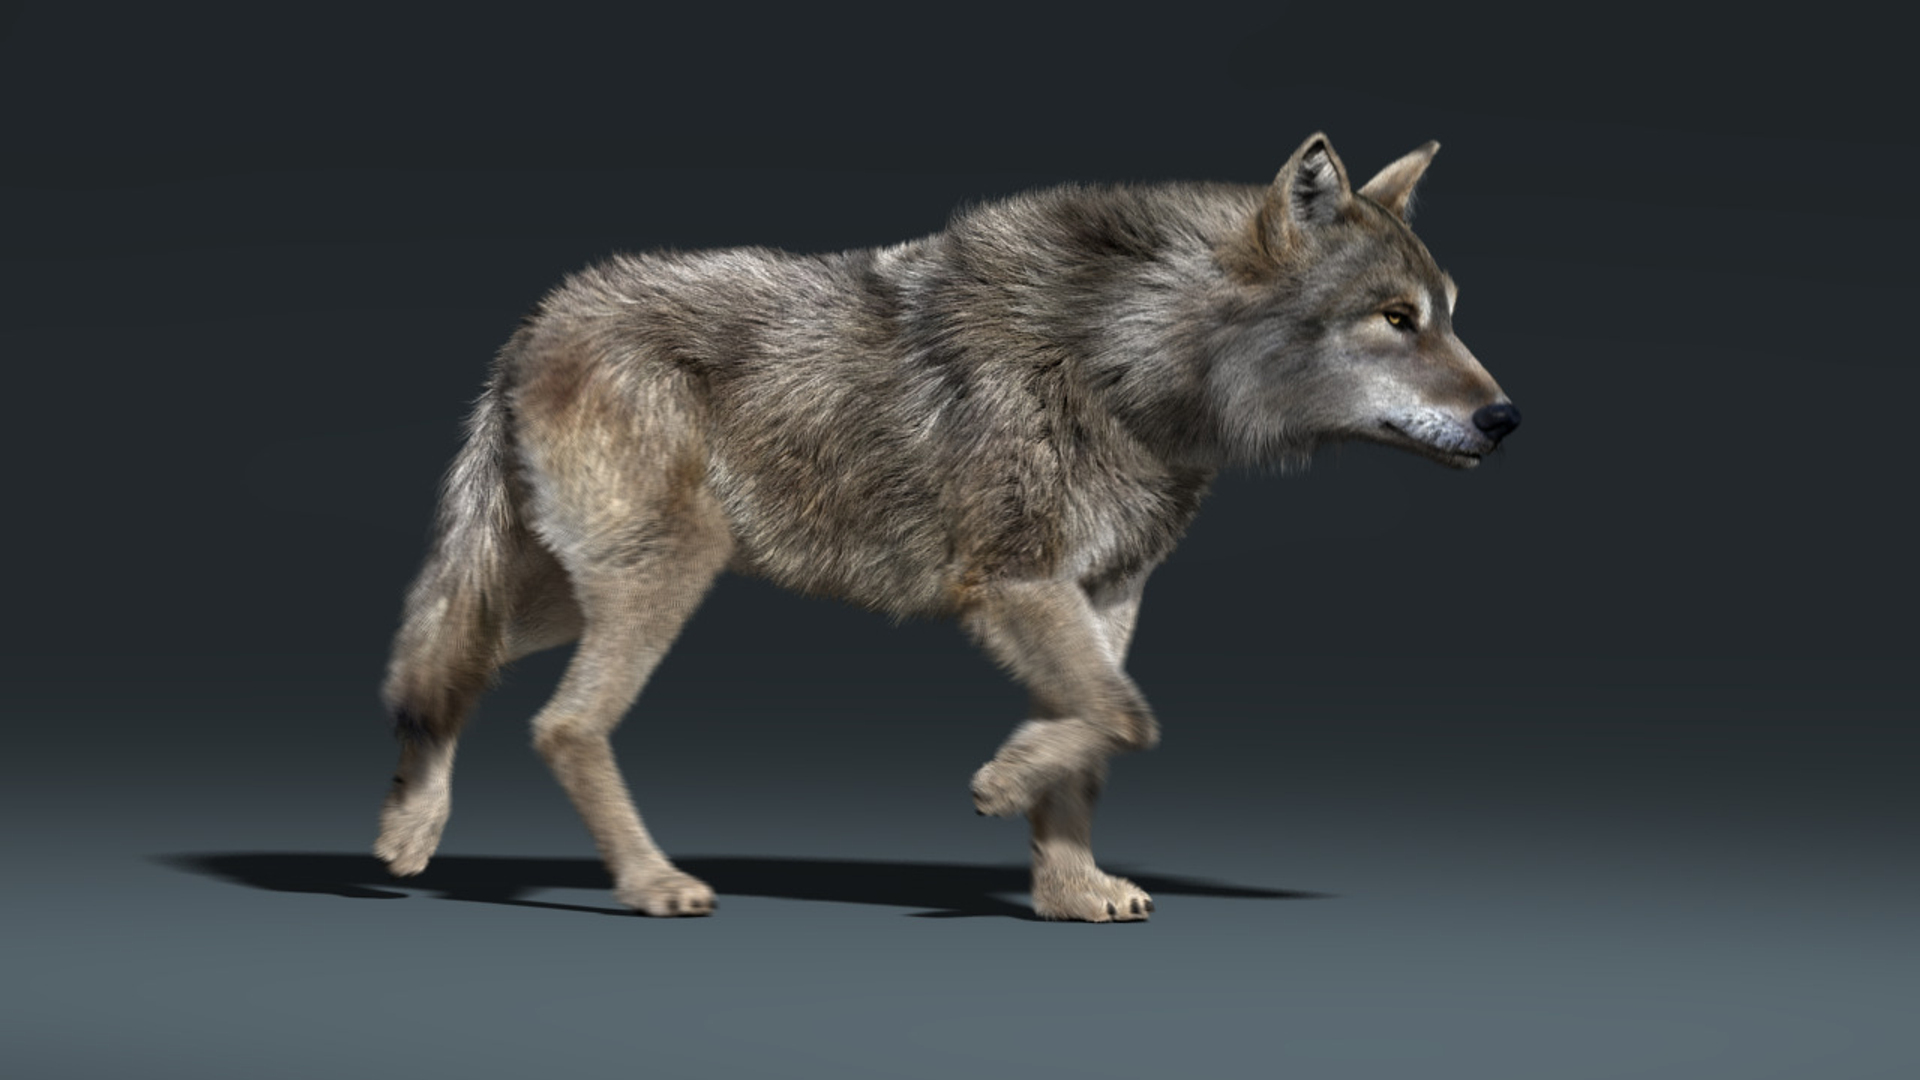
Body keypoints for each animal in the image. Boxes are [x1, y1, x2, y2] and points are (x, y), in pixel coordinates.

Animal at [373, 133, 1520, 921]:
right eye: (1396, 319)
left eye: (1450, 314)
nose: (1507, 418)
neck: (1130, 362)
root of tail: (534, 325)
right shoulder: (1016, 582)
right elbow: (1127, 719)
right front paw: (1004, 779)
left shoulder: (1104, 594)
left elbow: (1096, 743)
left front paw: (1069, 891)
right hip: (657, 579)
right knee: (560, 723)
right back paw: (652, 881)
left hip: (570, 595)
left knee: (446, 671)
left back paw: (406, 830)